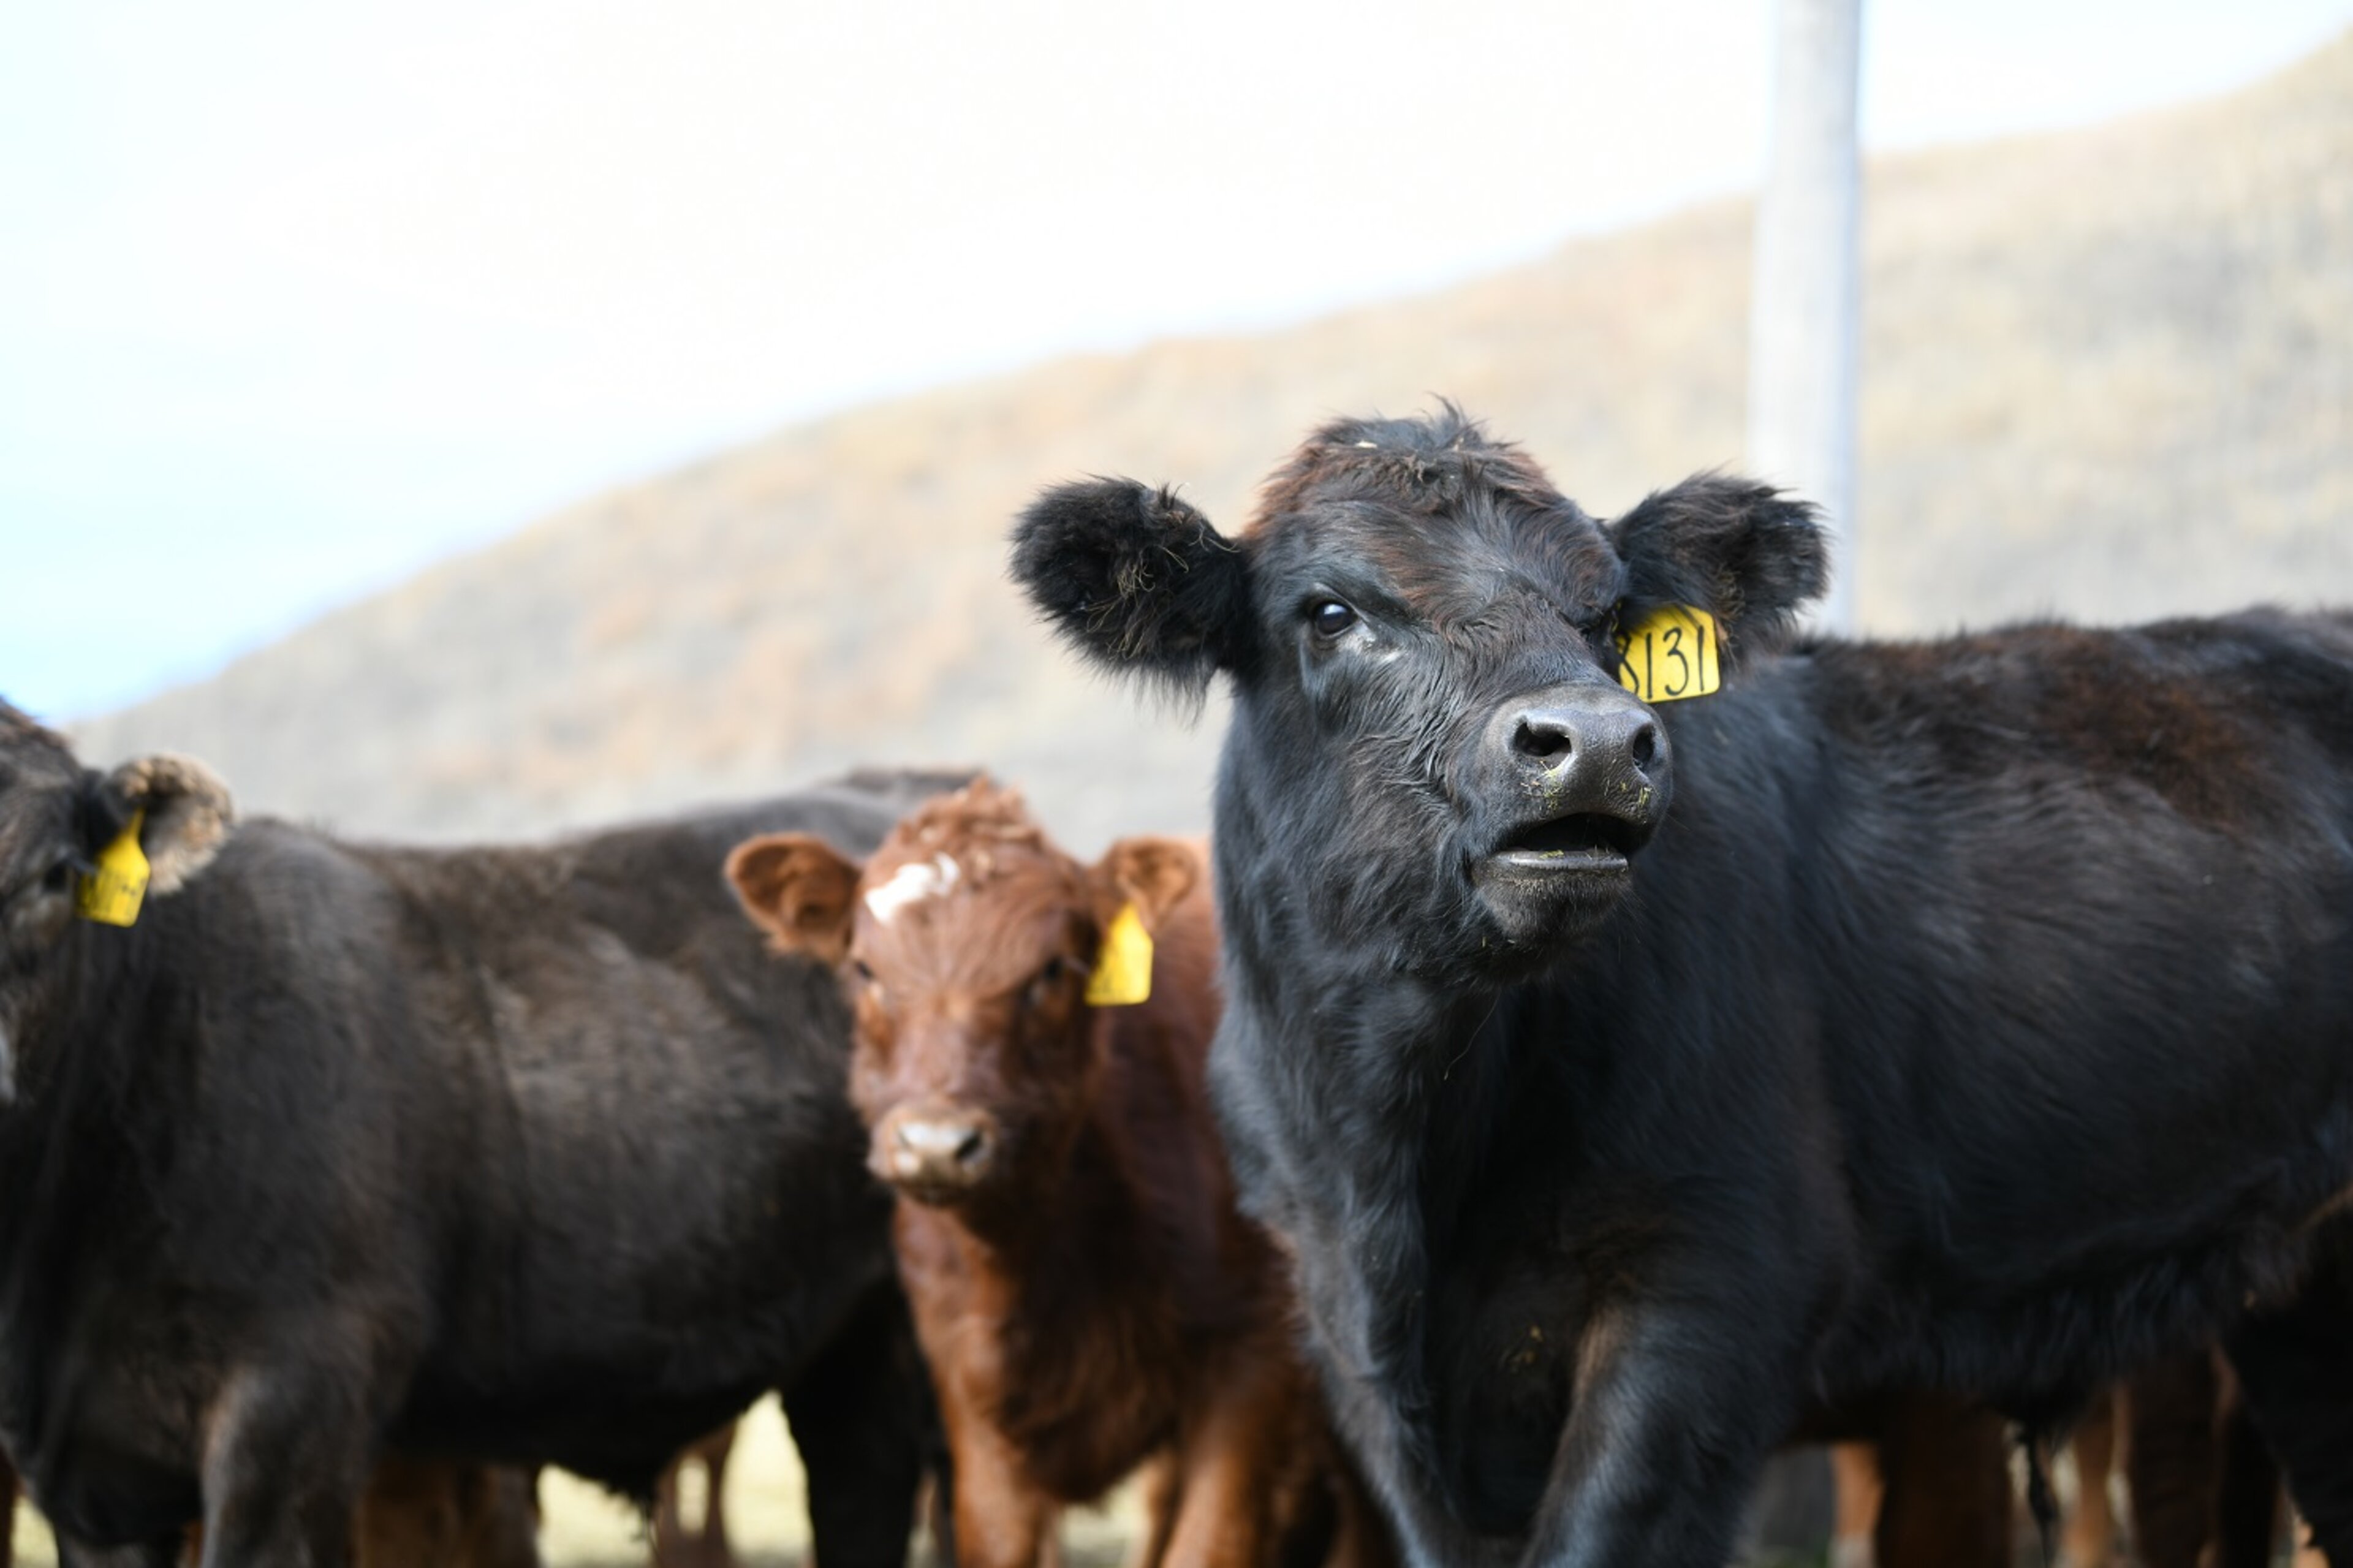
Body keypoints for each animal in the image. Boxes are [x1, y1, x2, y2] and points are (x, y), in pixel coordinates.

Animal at [1007, 406, 2353, 1568]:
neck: (1405, 1138)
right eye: (1330, 610)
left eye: (1609, 616)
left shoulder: (1711, 1289)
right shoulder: (1353, 1341)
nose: (1598, 741)